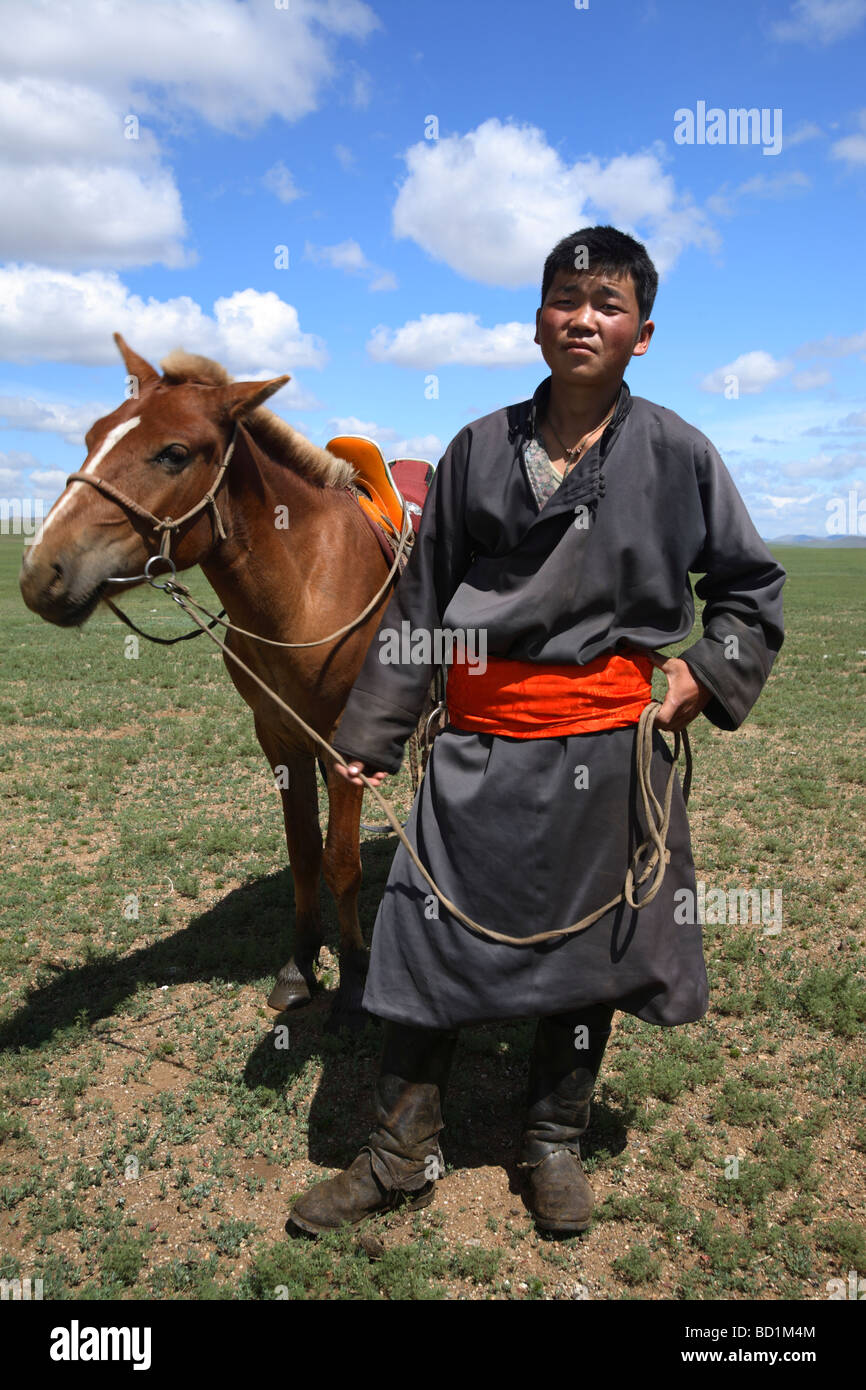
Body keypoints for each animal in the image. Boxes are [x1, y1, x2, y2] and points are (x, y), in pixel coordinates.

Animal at [19, 334, 416, 1029]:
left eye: (174, 453)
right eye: (92, 435)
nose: (42, 572)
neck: (306, 585)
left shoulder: (346, 744)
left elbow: (342, 862)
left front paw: (354, 978)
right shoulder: (279, 737)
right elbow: (303, 852)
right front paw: (300, 965)